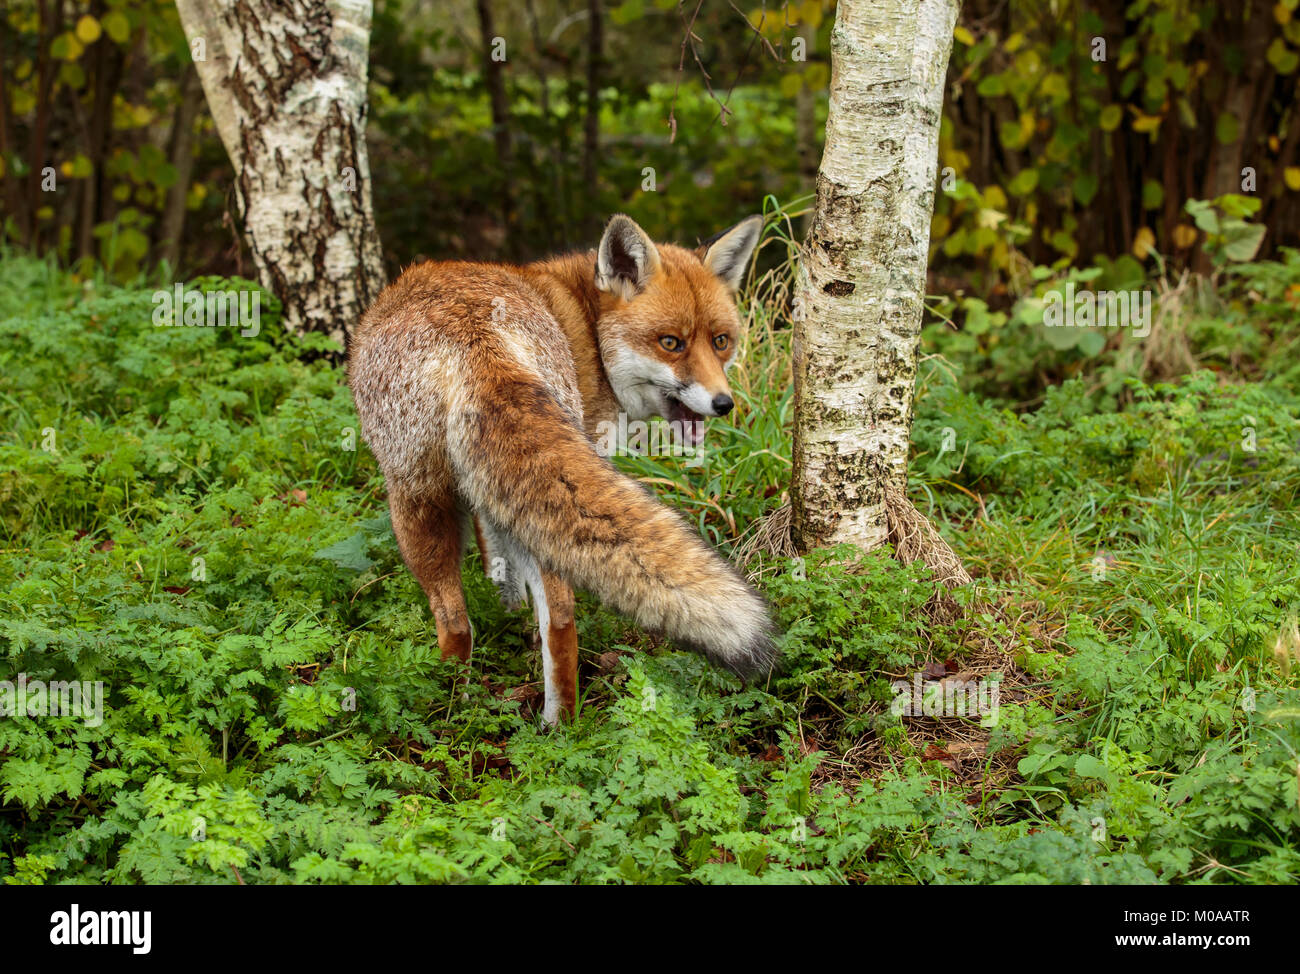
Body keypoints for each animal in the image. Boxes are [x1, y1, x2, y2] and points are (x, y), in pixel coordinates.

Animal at [347, 213, 778, 724]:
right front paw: (510, 610)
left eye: (720, 342)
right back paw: (551, 722)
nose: (724, 404)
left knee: (478, 621)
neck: (589, 332)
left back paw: (482, 717)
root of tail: (474, 330)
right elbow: (499, 558)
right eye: (670, 343)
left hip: (414, 497)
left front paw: (509, 614)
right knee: (544, 612)